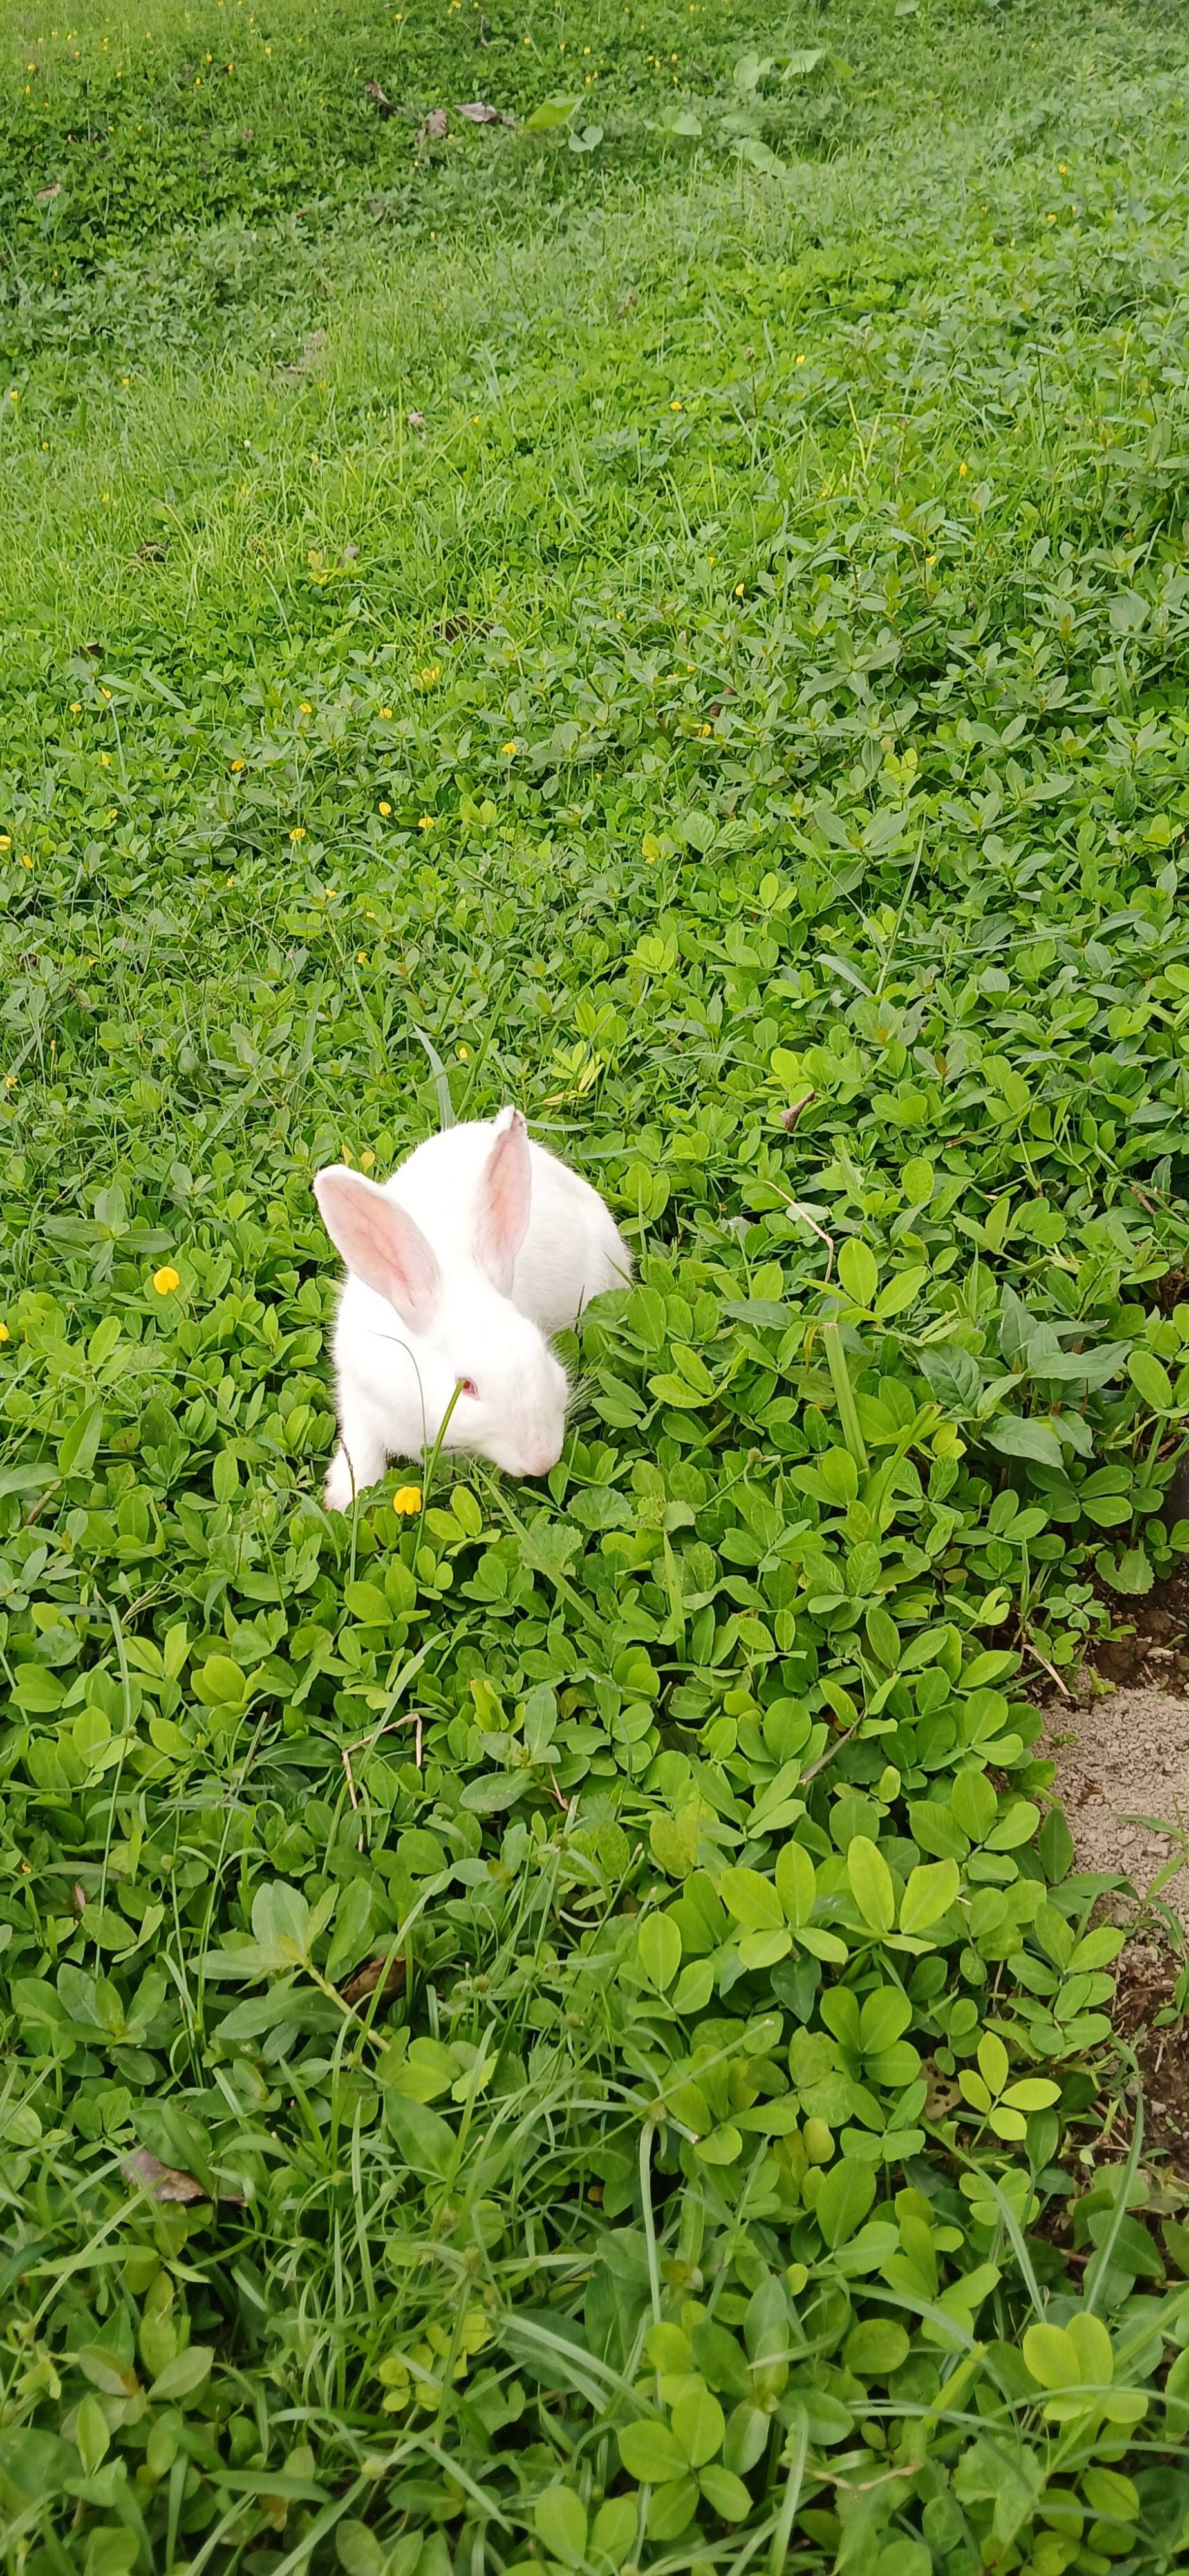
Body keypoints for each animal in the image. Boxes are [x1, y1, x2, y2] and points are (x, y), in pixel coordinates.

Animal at [313, 1106, 631, 1508]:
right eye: (466, 1386)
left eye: (542, 1352)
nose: (542, 1460)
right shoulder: (356, 1389)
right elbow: (360, 1445)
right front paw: (345, 1498)